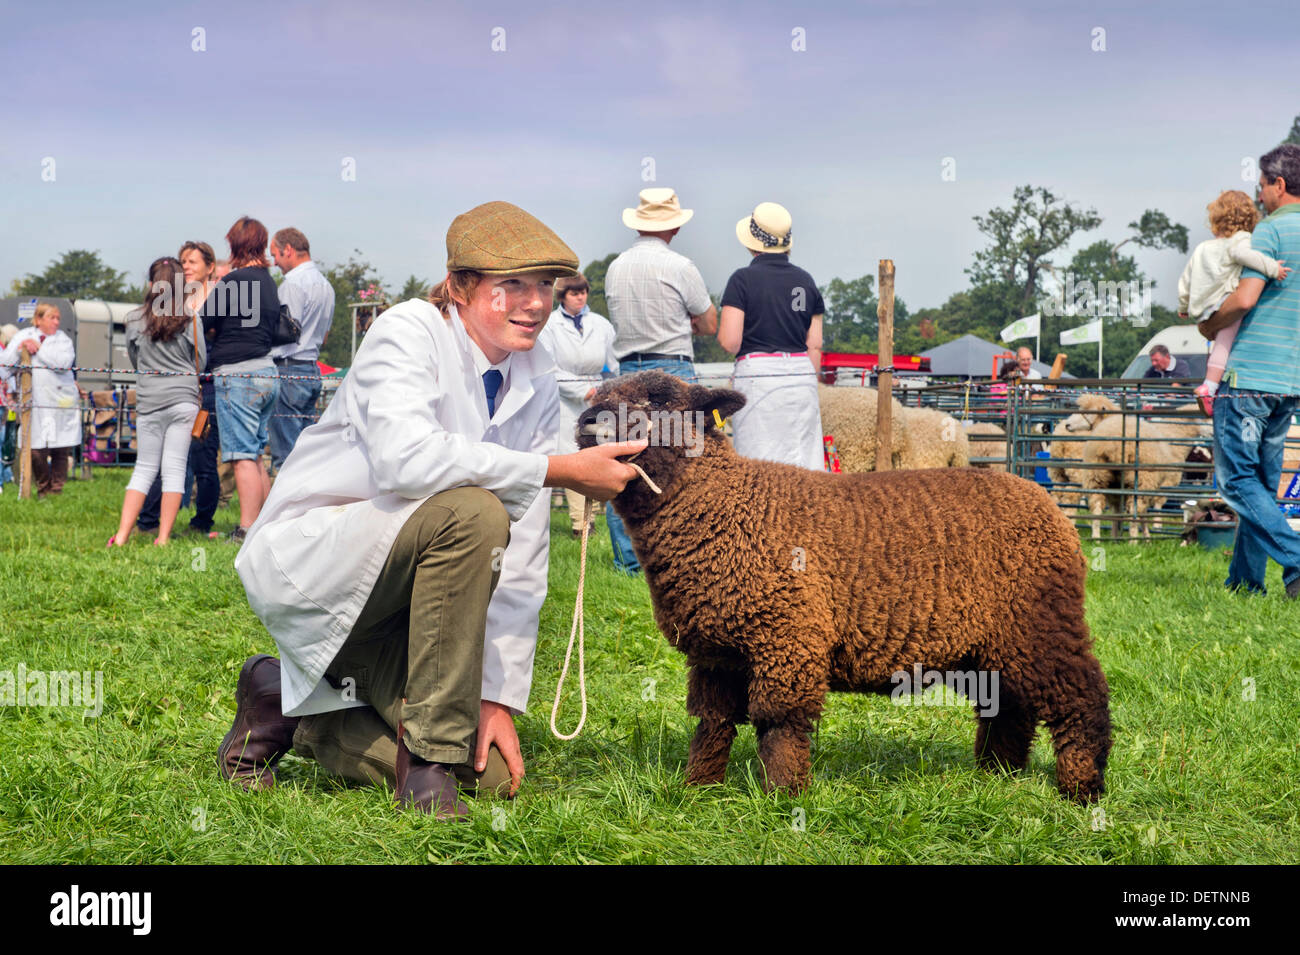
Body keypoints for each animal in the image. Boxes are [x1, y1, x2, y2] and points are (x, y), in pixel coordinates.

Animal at [579, 371, 1113, 803]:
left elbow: (779, 722)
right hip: (996, 641)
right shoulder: (716, 652)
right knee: (1008, 705)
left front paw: (782, 798)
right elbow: (712, 722)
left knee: (1081, 696)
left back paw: (1080, 789)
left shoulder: (787, 636)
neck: (729, 509)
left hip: (1041, 621)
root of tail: (1047, 505)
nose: (587, 423)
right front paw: (699, 789)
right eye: (598, 395)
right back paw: (997, 775)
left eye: (658, 401)